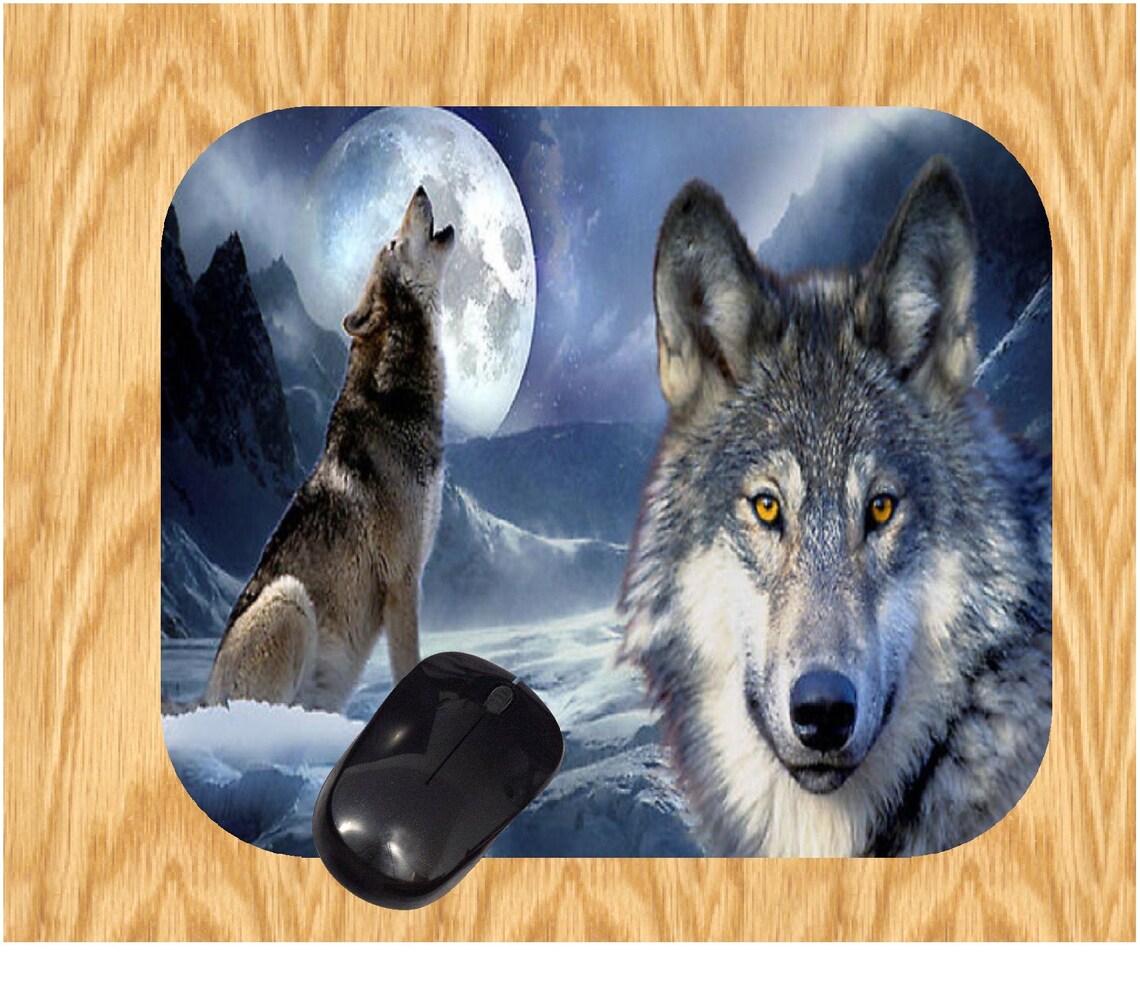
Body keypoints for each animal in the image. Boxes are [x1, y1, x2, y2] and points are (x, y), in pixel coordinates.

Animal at [203, 187, 454, 712]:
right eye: (393, 242)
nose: (420, 189)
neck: (398, 401)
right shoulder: (403, 580)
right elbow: (410, 666)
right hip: (289, 598)